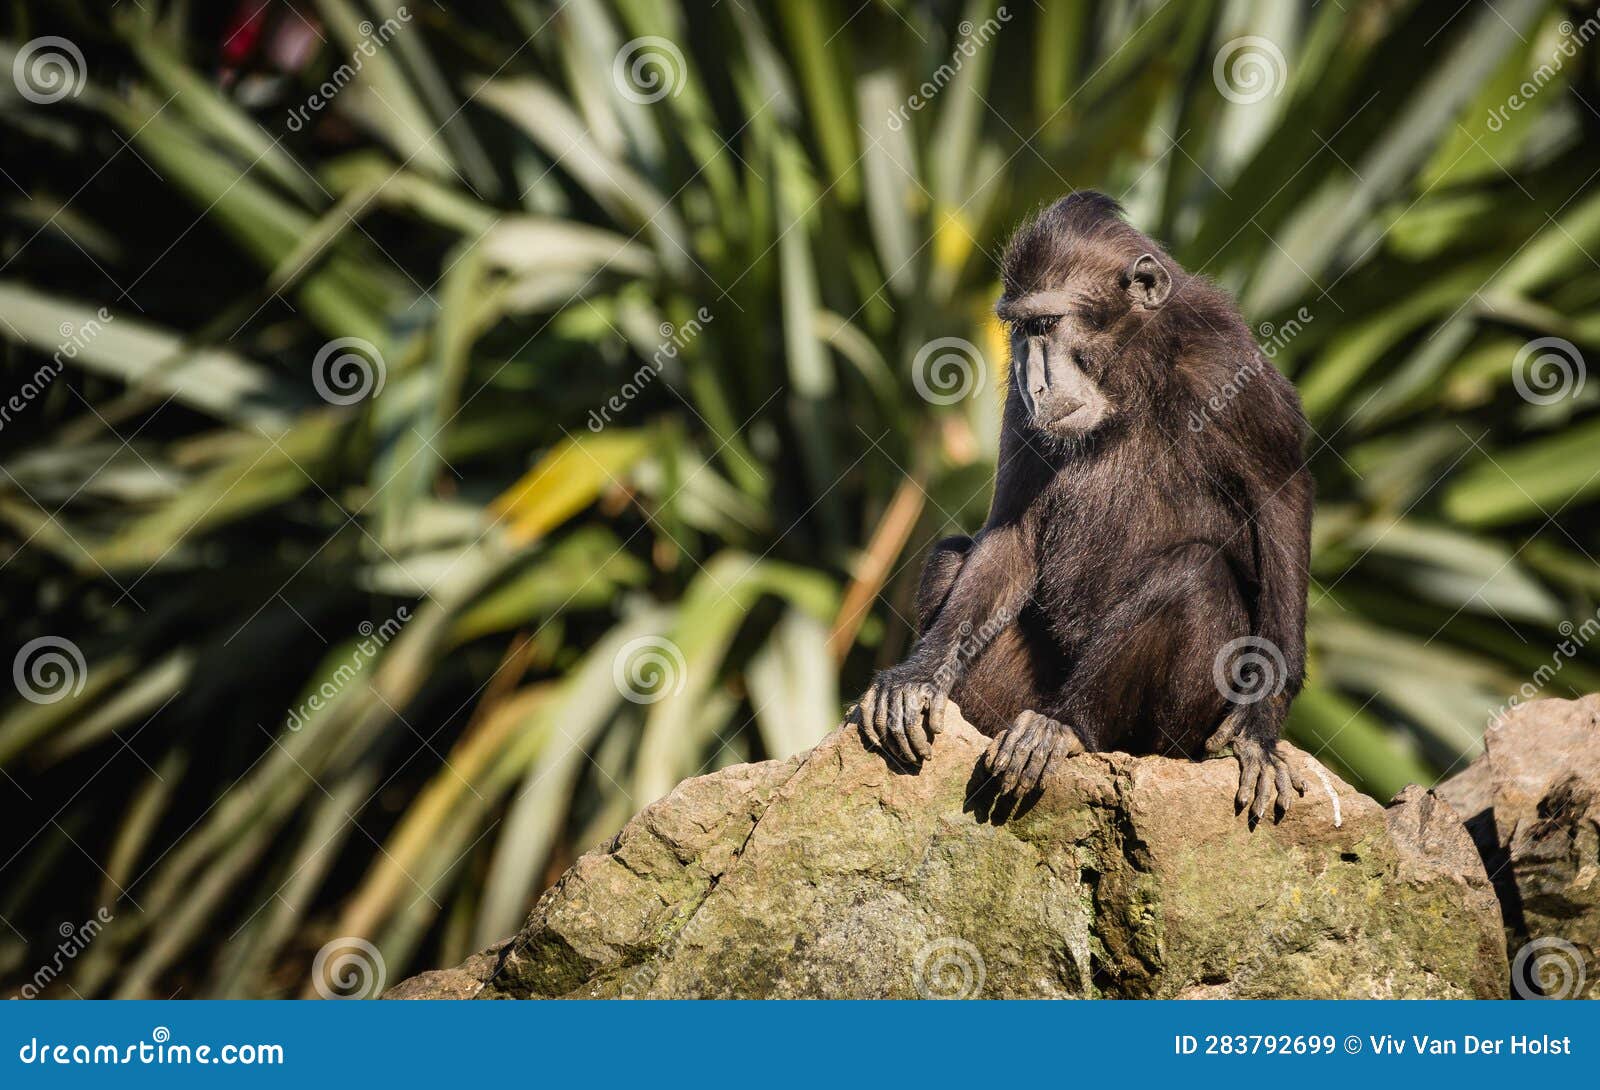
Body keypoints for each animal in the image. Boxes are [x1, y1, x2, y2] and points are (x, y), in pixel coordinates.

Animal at [858, 191, 1313, 824]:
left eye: (1049, 324)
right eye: (1021, 331)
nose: (1035, 382)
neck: (1133, 373)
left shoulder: (1230, 366)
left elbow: (1281, 504)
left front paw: (1261, 726)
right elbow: (1013, 535)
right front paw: (917, 677)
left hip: (1170, 737)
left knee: (1192, 574)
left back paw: (1066, 726)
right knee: (952, 555)